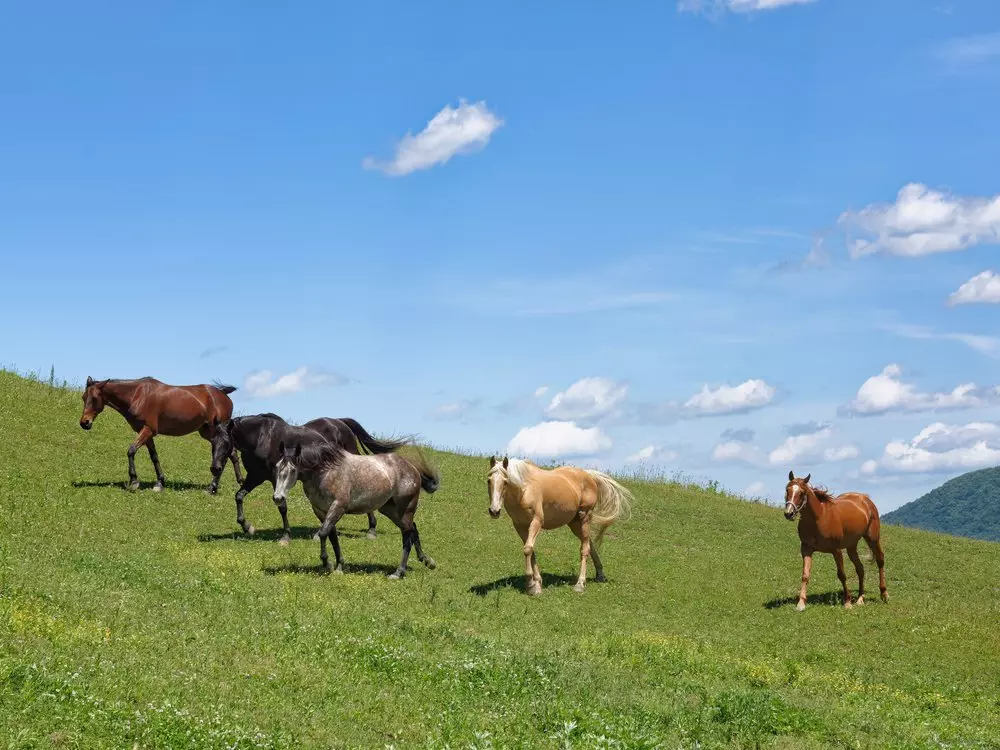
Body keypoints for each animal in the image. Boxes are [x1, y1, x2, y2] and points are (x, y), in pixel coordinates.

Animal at [78, 376, 242, 494]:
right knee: (232, 453)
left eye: (94, 398)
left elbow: (131, 450)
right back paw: (238, 481)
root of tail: (222, 394)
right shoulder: (147, 433)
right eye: (83, 397)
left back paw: (212, 487)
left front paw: (134, 481)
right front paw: (160, 483)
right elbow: (154, 457)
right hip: (207, 432)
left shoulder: (148, 429)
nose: (84, 422)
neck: (138, 395)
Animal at [207, 418, 406, 548]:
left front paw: (285, 536)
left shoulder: (276, 478)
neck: (261, 438)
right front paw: (247, 526)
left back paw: (371, 530)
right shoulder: (255, 477)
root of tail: (341, 423)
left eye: (226, 442)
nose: (215, 468)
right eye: (211, 441)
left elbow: (282, 507)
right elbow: (239, 496)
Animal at [272, 440, 436, 580]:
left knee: (407, 536)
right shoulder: (321, 511)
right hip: (390, 511)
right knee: (412, 529)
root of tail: (413, 468)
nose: (278, 498)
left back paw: (398, 572)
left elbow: (323, 533)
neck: (325, 471)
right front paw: (338, 566)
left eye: (293, 470)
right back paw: (427, 561)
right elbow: (332, 537)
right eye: (277, 466)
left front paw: (327, 563)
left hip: (405, 510)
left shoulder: (338, 507)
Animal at [486, 456, 632, 596]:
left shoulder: (536, 522)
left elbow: (527, 549)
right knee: (589, 543)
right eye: (489, 480)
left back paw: (580, 584)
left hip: (585, 517)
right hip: (574, 523)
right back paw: (600, 575)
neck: (524, 490)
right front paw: (537, 584)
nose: (494, 511)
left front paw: (530, 584)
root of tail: (588, 475)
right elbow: (531, 550)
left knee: (584, 549)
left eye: (505, 481)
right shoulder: (520, 525)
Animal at [784, 472, 888, 612]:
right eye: (787, 490)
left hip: (872, 538)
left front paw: (847, 602)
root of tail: (866, 499)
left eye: (801, 492)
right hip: (851, 546)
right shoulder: (806, 549)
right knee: (860, 568)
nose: (788, 513)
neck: (819, 517)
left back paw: (884, 594)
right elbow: (805, 575)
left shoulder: (836, 551)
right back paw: (860, 599)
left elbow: (842, 575)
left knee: (880, 559)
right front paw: (801, 603)